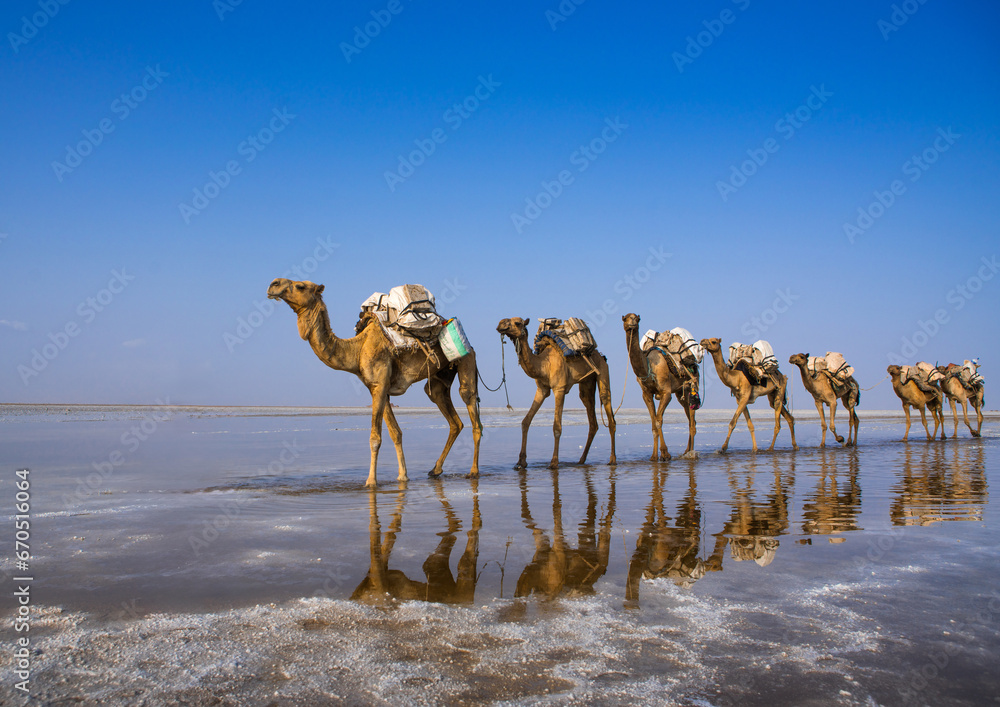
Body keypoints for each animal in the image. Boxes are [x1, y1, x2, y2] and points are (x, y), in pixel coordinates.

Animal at [267, 278, 482, 487]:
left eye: (300, 286)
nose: (273, 284)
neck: (357, 349)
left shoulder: (379, 384)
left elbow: (375, 437)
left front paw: (370, 481)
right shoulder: (379, 388)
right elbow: (396, 433)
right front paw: (403, 476)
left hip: (466, 359)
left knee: (471, 408)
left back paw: (473, 472)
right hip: (441, 376)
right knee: (449, 413)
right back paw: (435, 470)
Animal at [496, 317, 616, 469]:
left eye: (517, 323)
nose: (501, 324)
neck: (543, 365)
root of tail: (601, 355)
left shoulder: (559, 389)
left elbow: (557, 427)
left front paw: (553, 462)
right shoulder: (542, 390)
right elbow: (525, 422)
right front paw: (521, 462)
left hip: (603, 372)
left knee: (608, 409)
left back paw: (612, 459)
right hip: (587, 383)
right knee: (592, 418)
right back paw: (581, 460)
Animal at [622, 314, 700, 460]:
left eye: (637, 319)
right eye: (625, 319)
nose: (632, 323)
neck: (648, 366)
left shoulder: (666, 393)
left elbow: (659, 420)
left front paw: (665, 454)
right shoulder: (646, 394)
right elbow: (653, 423)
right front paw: (653, 456)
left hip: (691, 386)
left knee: (692, 420)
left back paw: (692, 453)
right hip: (680, 393)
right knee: (689, 416)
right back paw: (686, 451)